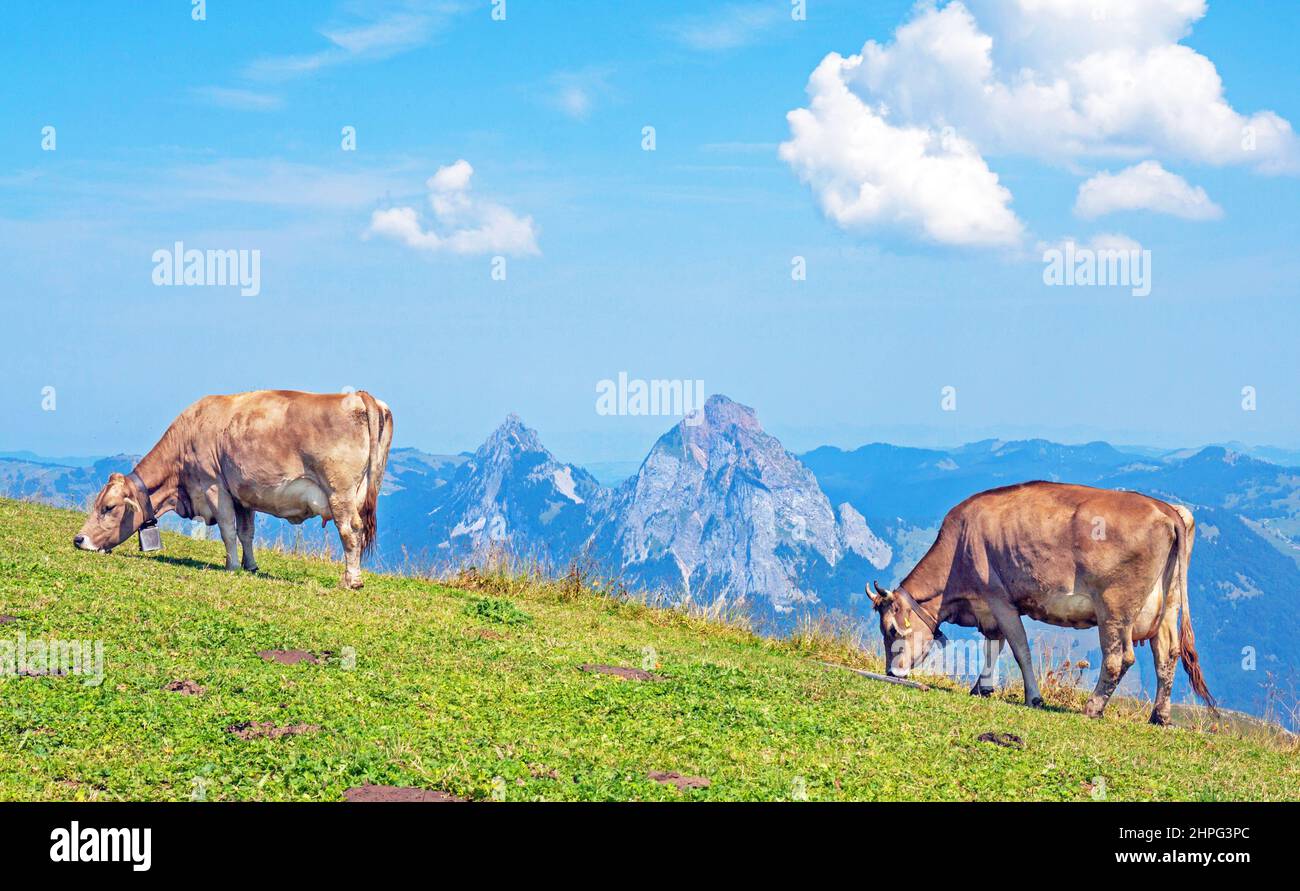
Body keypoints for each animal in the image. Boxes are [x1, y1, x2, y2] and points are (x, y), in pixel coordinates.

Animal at [73, 390, 393, 590]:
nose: (79, 539)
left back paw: (351, 580)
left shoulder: (215, 487)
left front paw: (231, 566)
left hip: (340, 493)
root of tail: (358, 396)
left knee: (350, 530)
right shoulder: (243, 495)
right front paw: (250, 565)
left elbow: (227, 530)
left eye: (109, 507)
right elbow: (246, 532)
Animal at [867, 481, 1214, 725]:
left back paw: (1092, 707)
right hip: (1168, 605)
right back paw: (1160, 717)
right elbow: (994, 646)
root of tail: (1165, 508)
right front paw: (982, 688)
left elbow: (1019, 649)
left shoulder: (999, 599)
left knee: (1119, 657)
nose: (891, 673)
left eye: (892, 630)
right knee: (1167, 655)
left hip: (1115, 607)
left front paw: (1033, 697)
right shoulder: (989, 608)